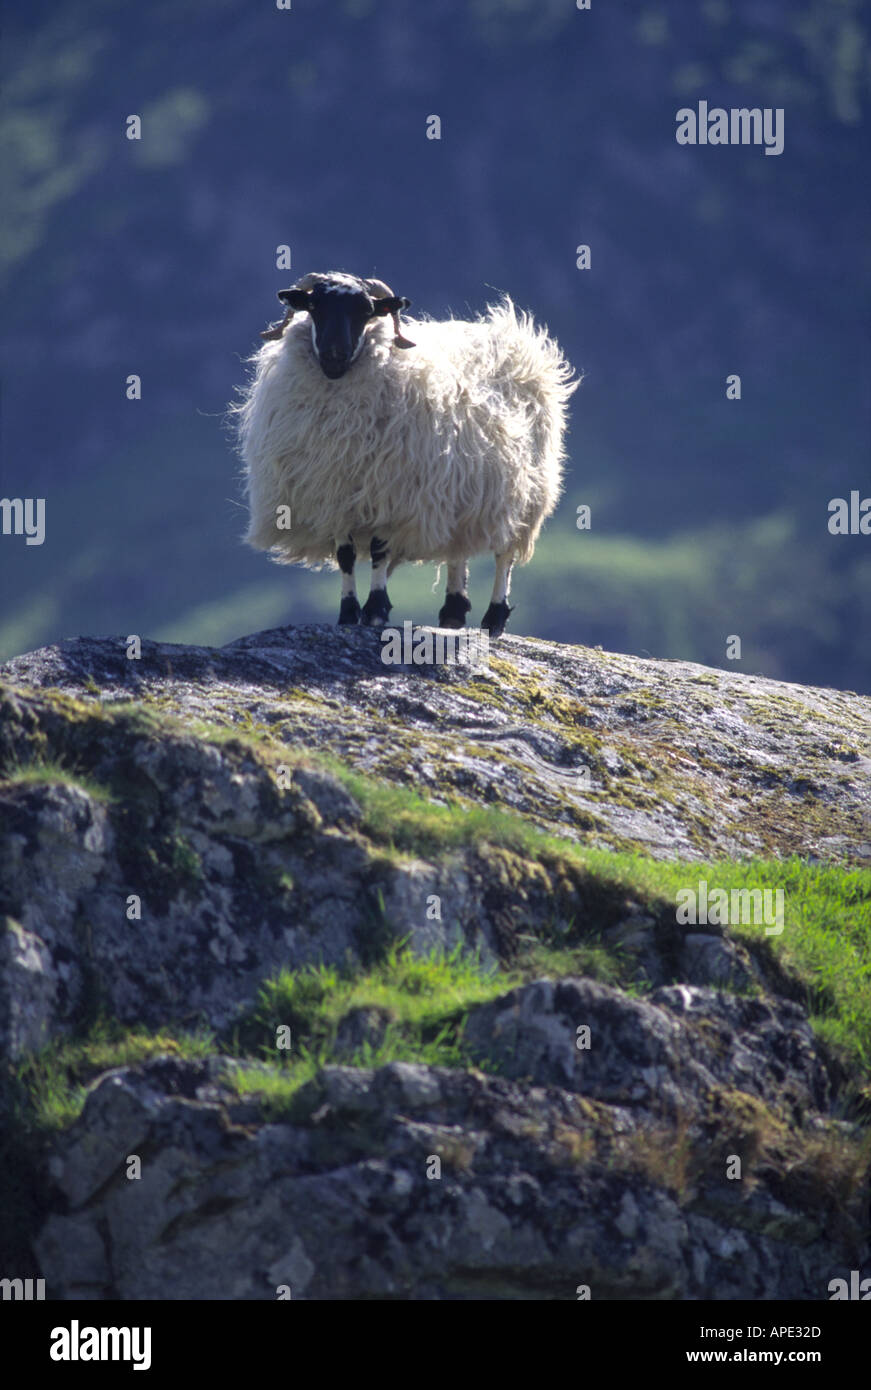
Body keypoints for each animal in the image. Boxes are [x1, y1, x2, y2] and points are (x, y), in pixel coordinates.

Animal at [234, 270, 578, 638]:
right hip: (462, 492)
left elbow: (378, 551)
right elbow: (345, 556)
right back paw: (453, 614)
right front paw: (347, 614)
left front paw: (375, 611)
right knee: (458, 549)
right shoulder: (336, 496)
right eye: (314, 306)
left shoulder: (391, 495)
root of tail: (512, 337)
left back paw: (494, 618)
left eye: (366, 311)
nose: (334, 354)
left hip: (522, 493)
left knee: (504, 554)